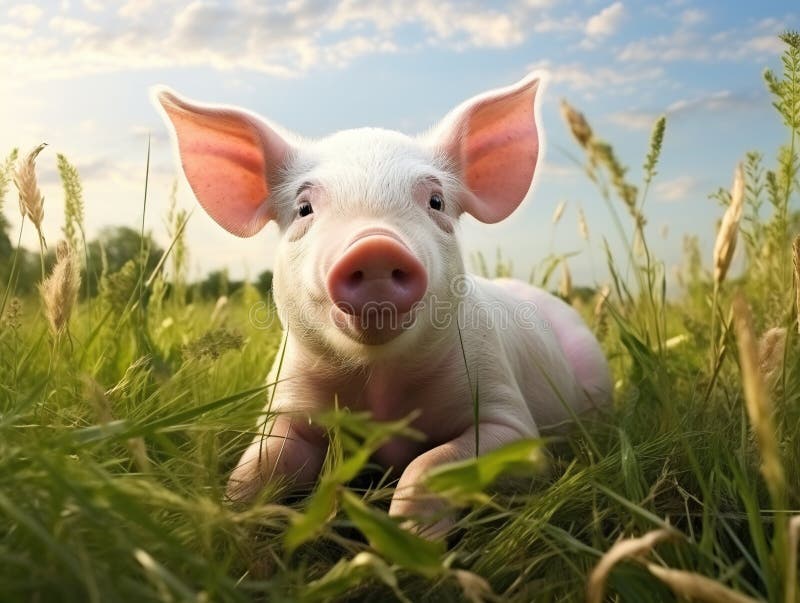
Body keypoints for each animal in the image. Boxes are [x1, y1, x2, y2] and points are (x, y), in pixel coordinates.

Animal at [155, 71, 612, 535]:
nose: (375, 247)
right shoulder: (287, 400)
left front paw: (409, 535)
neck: (380, 384)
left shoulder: (507, 411)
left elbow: (433, 462)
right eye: (303, 208)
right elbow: (262, 464)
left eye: (436, 201)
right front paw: (226, 521)